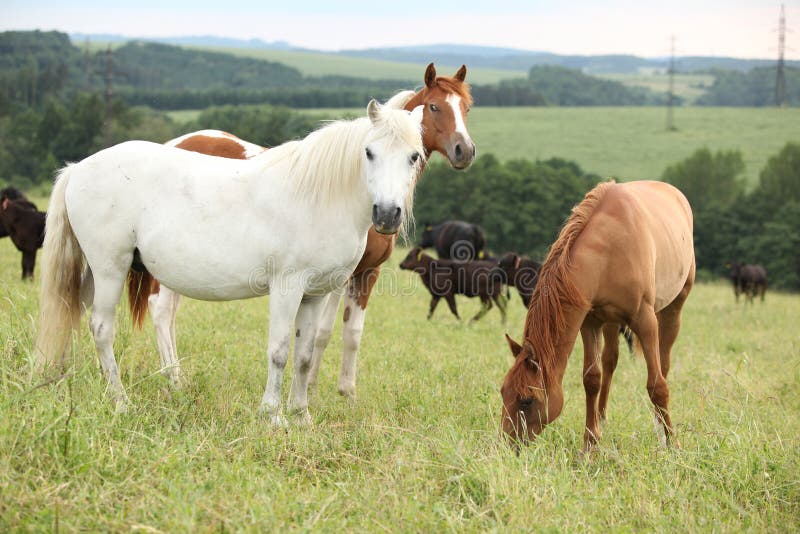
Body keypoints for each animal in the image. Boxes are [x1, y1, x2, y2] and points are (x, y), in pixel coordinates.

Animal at [35, 100, 425, 425]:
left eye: (414, 156)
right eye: (369, 152)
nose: (387, 214)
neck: (318, 197)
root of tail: (79, 168)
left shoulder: (314, 295)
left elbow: (304, 355)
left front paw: (302, 417)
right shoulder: (287, 288)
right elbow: (279, 351)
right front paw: (273, 416)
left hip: (92, 273)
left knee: (69, 311)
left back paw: (56, 379)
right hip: (110, 270)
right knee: (102, 329)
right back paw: (121, 402)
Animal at [500, 181, 694, 453]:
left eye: (526, 400)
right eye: (502, 392)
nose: (508, 446)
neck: (608, 250)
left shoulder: (645, 320)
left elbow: (657, 386)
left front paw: (673, 443)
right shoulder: (590, 322)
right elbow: (592, 380)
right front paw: (589, 446)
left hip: (674, 307)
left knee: (663, 364)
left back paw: (660, 426)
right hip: (611, 322)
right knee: (610, 360)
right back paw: (602, 417)